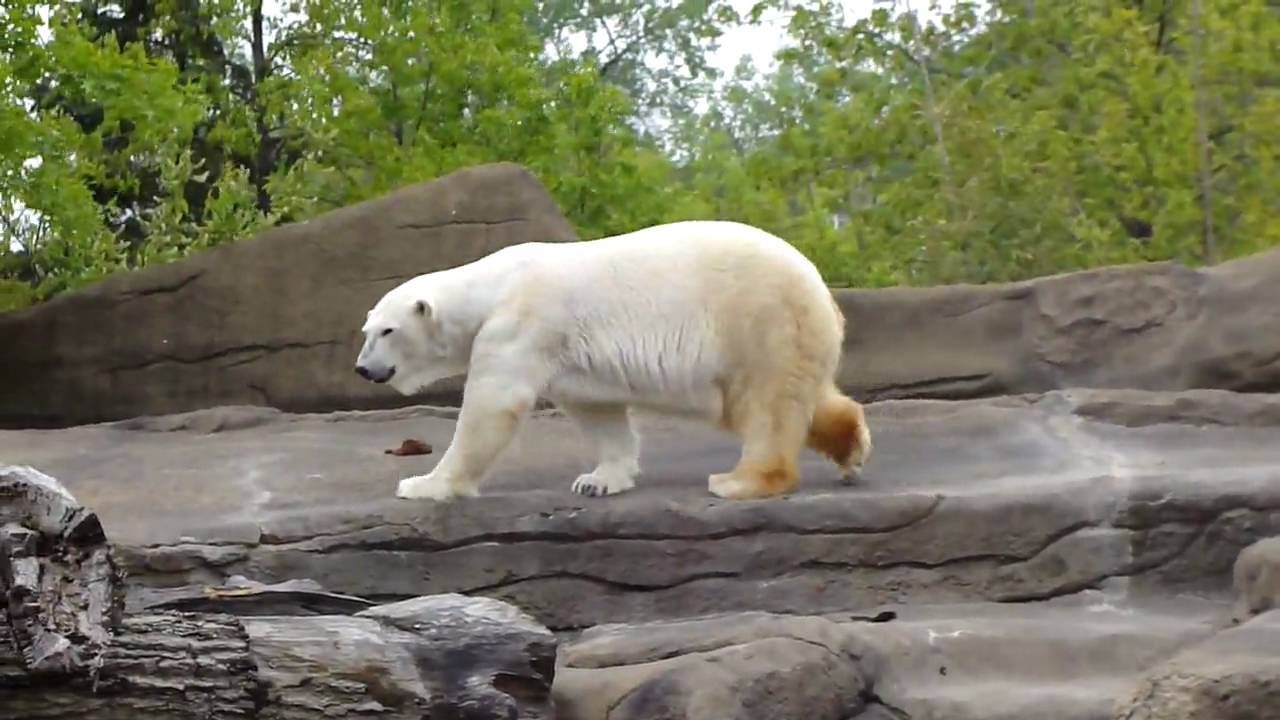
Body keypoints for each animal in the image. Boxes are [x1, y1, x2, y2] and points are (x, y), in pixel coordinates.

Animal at [354, 219, 872, 501]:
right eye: (366, 331)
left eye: (387, 331)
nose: (363, 368)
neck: (493, 287)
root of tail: (818, 286)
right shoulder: (567, 352)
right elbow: (597, 412)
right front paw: (599, 480)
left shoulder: (523, 324)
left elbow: (492, 404)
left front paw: (424, 484)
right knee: (804, 398)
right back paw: (851, 448)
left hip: (758, 320)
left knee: (764, 406)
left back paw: (738, 481)